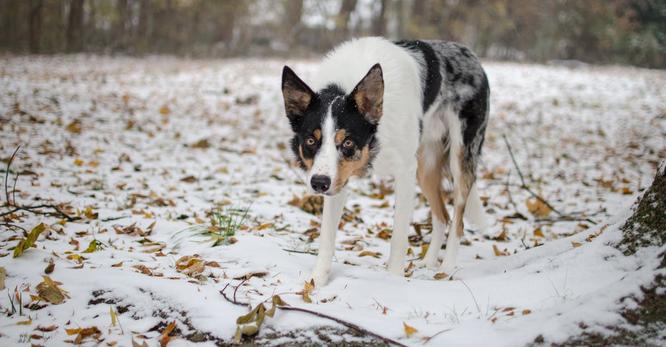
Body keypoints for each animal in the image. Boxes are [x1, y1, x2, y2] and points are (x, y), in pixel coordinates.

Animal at [280, 36, 488, 286]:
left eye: (348, 142)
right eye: (311, 140)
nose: (319, 183)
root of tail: (470, 54)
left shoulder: (404, 172)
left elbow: (398, 237)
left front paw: (394, 282)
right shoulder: (337, 179)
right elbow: (327, 237)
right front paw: (317, 282)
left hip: (459, 158)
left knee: (457, 219)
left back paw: (446, 269)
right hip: (425, 168)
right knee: (443, 218)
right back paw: (429, 263)